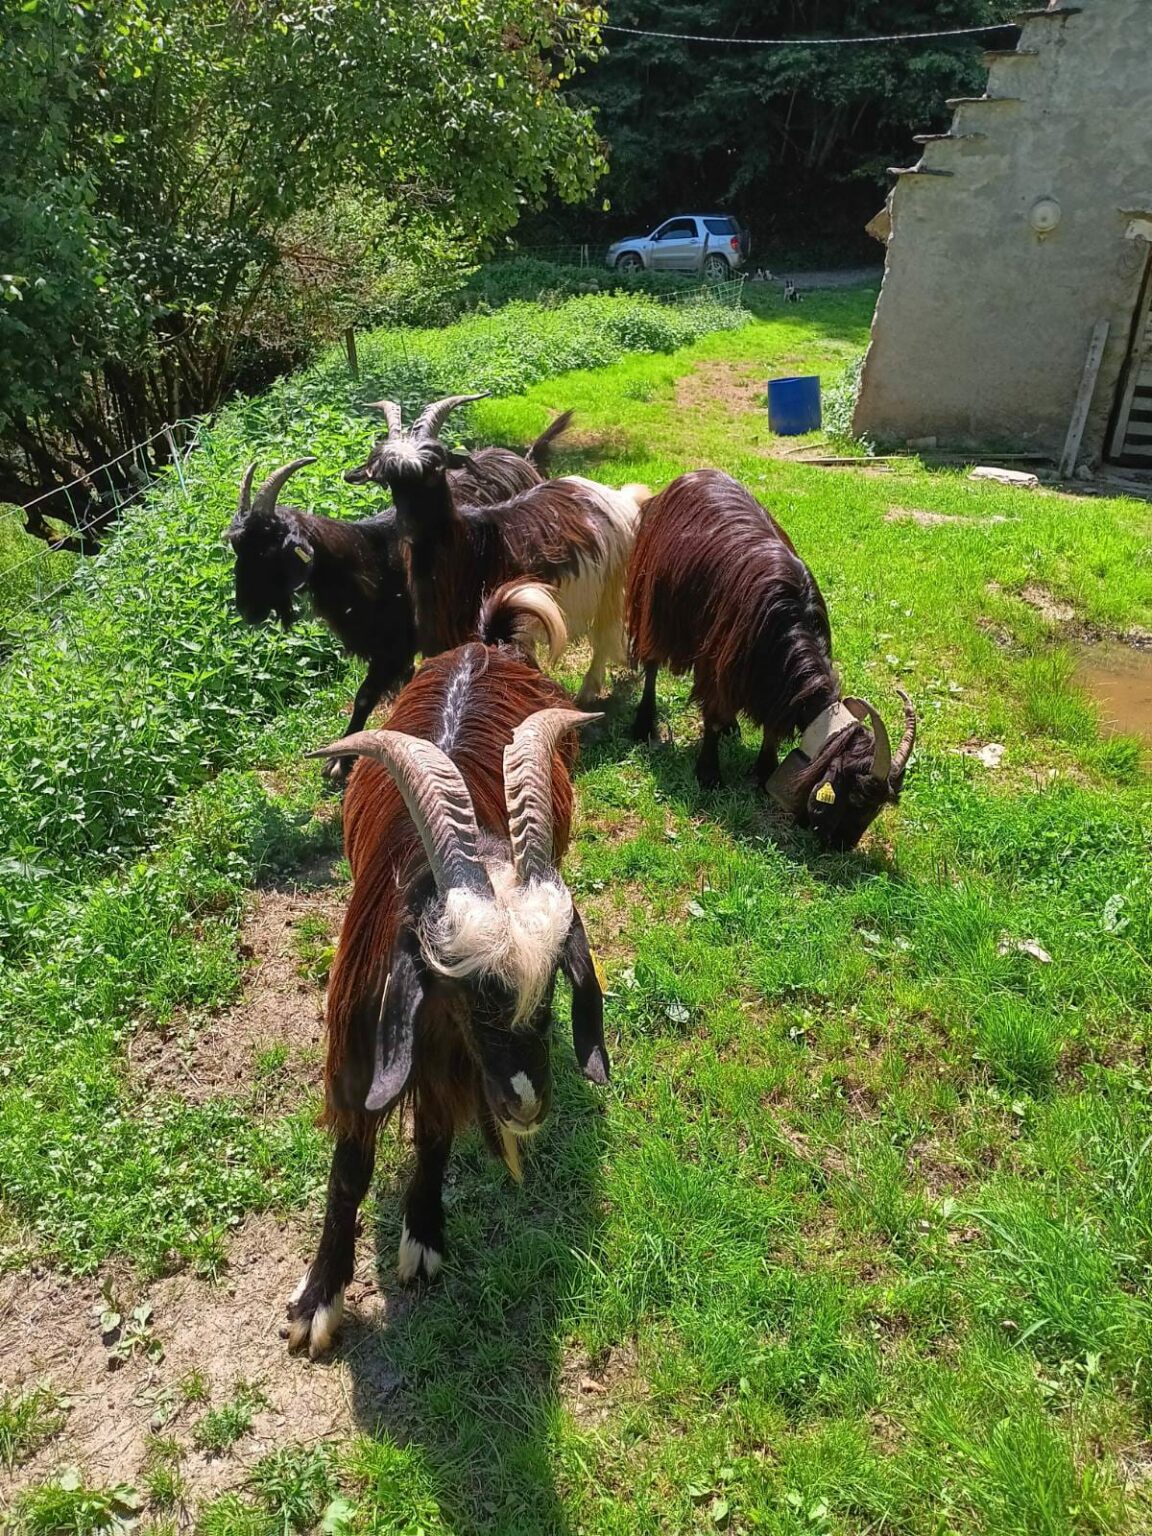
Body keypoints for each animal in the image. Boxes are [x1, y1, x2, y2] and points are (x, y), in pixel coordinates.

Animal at [228, 459, 415, 780]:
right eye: (237, 550)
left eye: (267, 550)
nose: (247, 610)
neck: (372, 561)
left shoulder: (394, 647)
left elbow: (364, 695)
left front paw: (341, 760)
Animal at [286, 580, 609, 1358]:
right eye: (464, 990)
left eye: (552, 984)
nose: (527, 1104)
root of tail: (484, 644)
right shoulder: (362, 1051)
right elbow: (349, 1169)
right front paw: (318, 1300)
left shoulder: (454, 1070)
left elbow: (433, 1136)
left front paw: (425, 1234)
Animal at [626, 469, 917, 851]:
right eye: (854, 796)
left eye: (878, 807)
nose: (840, 845)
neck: (790, 624)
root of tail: (687, 478)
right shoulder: (720, 664)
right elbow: (711, 716)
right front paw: (709, 774)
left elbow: (772, 727)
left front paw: (764, 770)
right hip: (651, 603)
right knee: (651, 664)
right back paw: (644, 724)